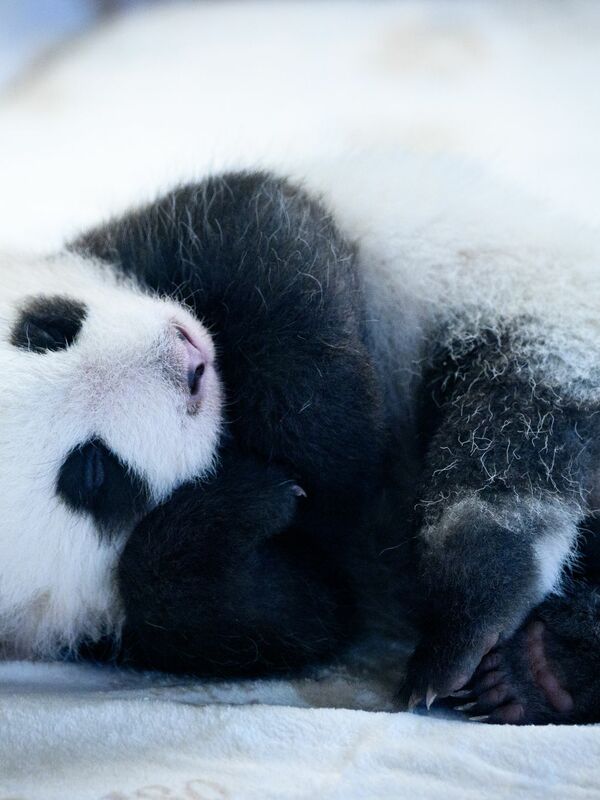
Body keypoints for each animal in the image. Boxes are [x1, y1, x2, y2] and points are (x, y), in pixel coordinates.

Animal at [3, 156, 600, 725]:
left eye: (47, 329)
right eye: (91, 472)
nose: (186, 364)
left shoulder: (150, 237)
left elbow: (262, 228)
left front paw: (334, 442)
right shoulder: (130, 631)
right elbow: (296, 612)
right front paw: (245, 504)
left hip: (532, 299)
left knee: (512, 436)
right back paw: (526, 669)